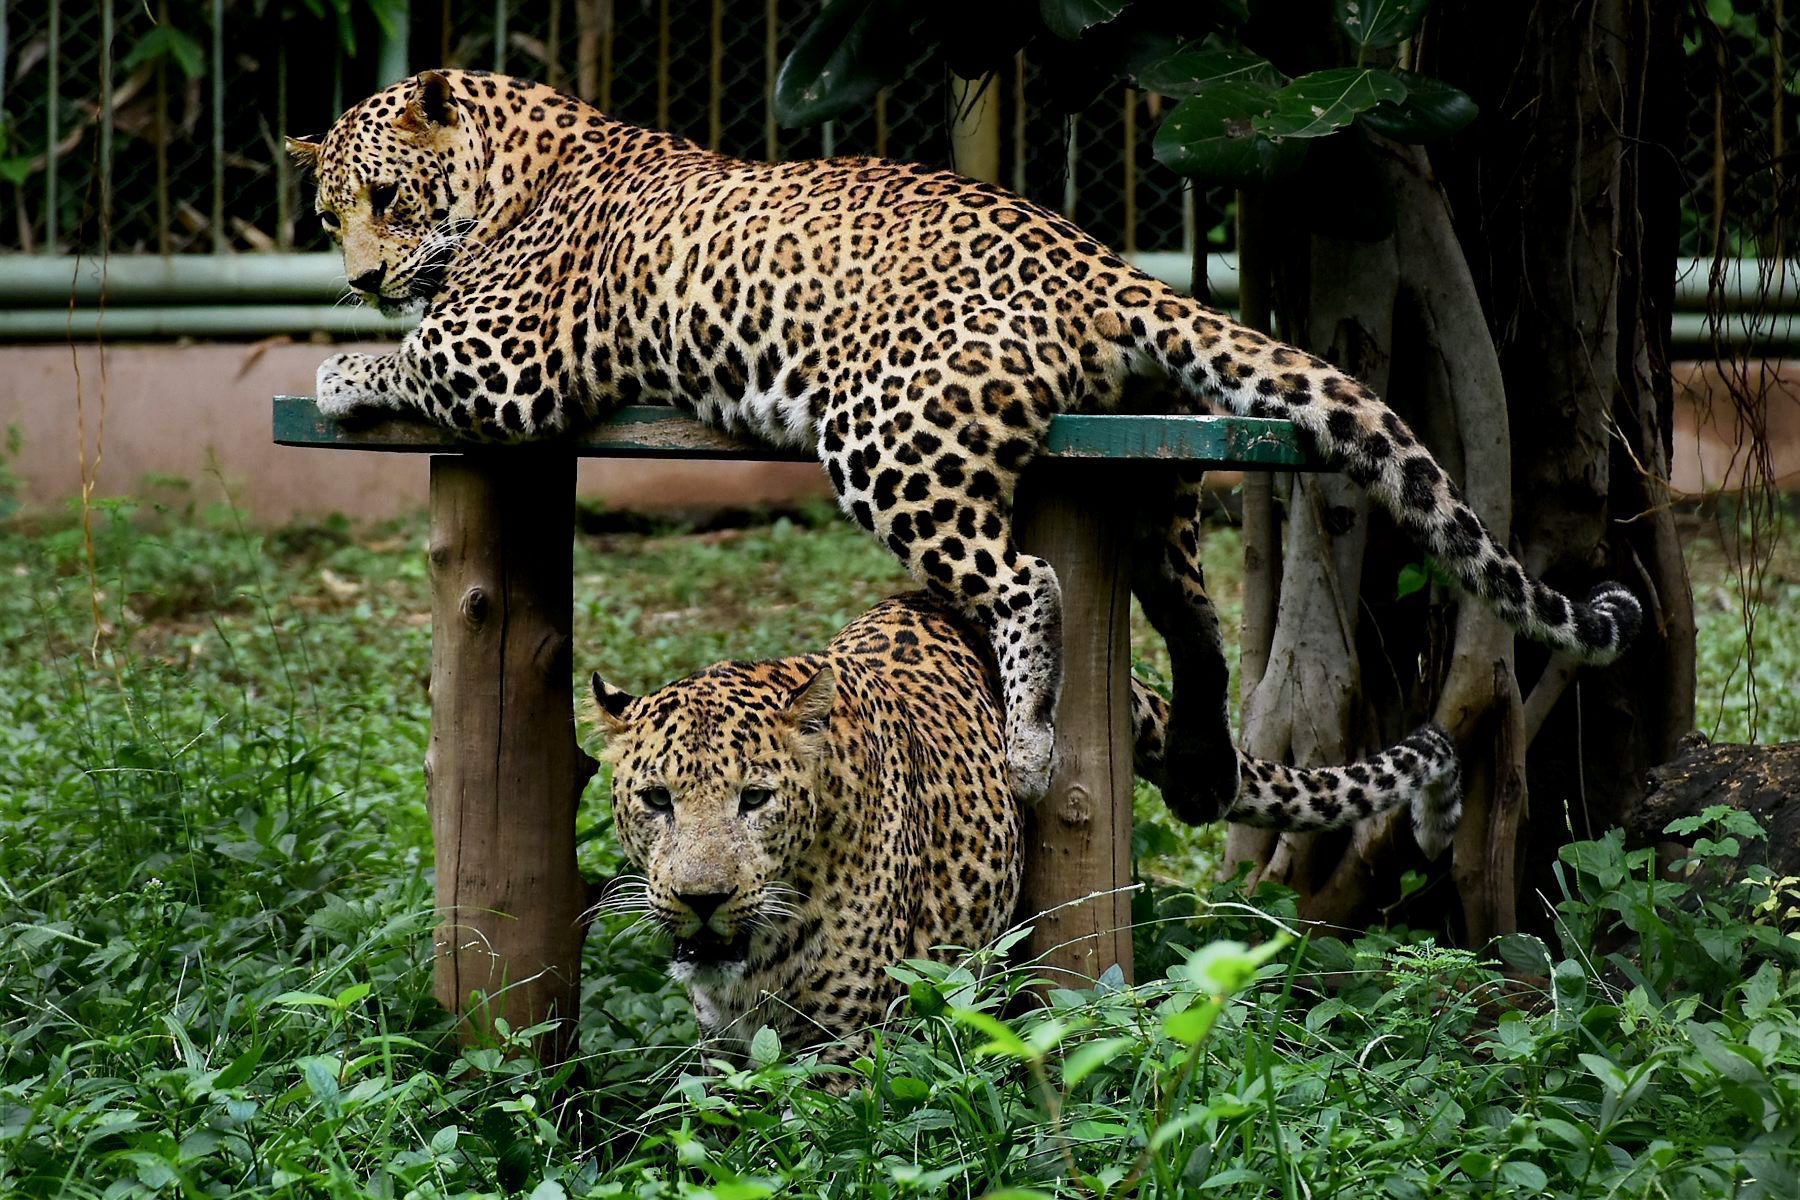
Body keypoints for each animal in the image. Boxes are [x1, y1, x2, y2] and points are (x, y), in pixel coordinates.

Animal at [289, 68, 1642, 821]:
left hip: (887, 439)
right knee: (1189, 612)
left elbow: (415, 355)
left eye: (387, 200)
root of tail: (1100, 263)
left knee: (1031, 581)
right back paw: (1206, 751)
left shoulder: (506, 363)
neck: (515, 158)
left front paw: (341, 365)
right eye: (325, 211)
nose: (359, 278)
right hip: (1157, 473)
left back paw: (1035, 743)